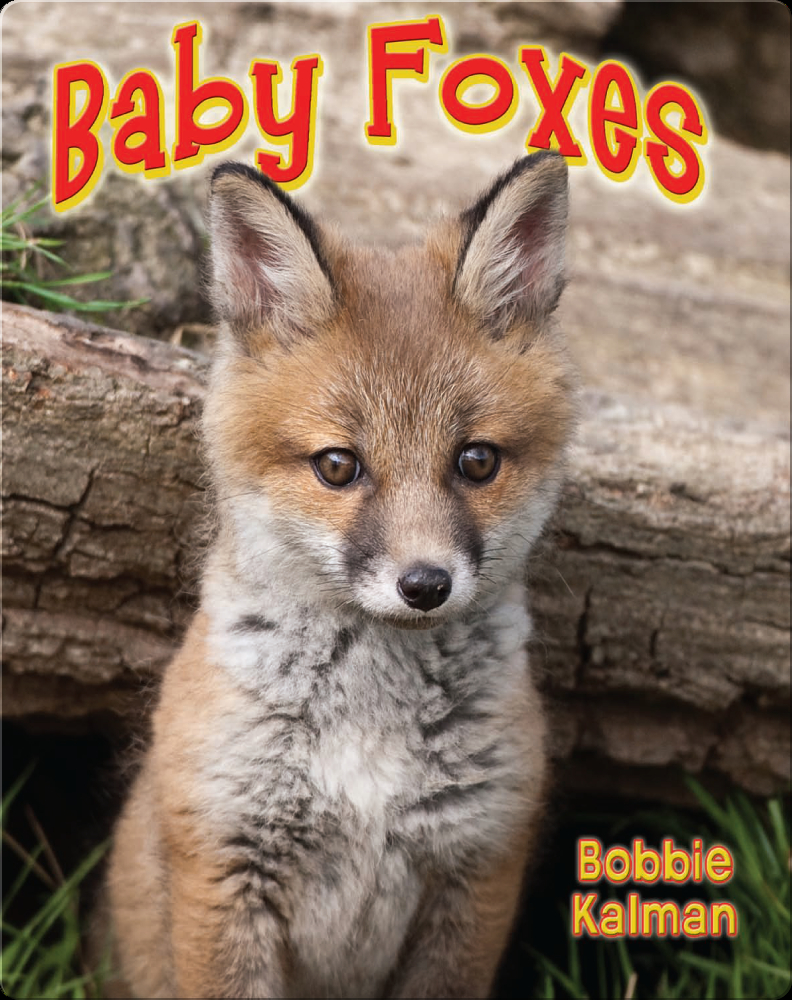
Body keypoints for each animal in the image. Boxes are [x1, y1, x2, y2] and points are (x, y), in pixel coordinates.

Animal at [103, 150, 577, 999]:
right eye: (337, 466)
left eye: (477, 461)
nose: (424, 584)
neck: (369, 729)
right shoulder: (223, 862)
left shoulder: (475, 871)